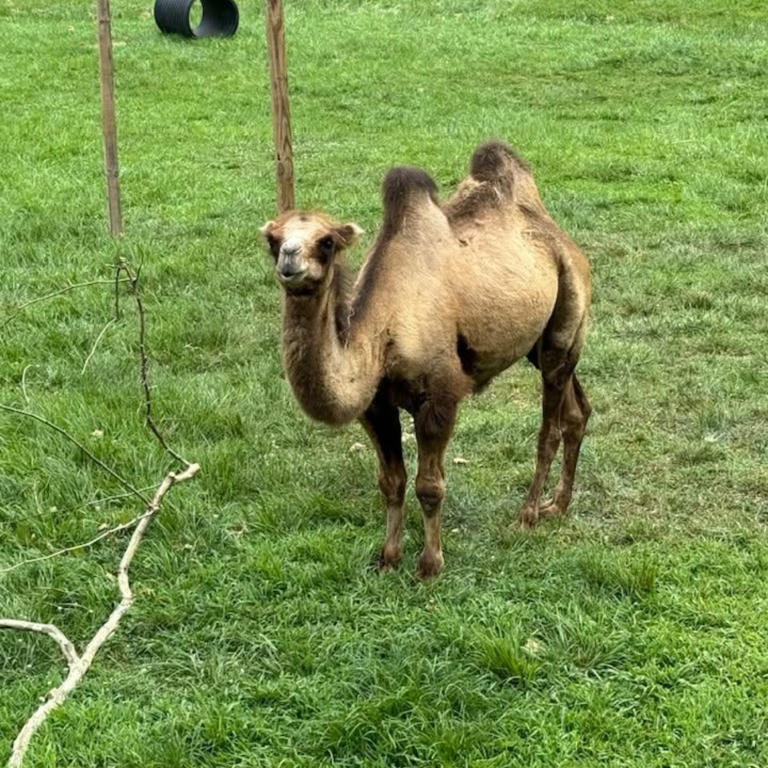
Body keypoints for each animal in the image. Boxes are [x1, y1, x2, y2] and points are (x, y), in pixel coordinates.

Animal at [260, 140, 591, 579]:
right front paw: (388, 557)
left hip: (567, 314)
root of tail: (557, 234)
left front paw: (430, 565)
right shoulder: (376, 406)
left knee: (549, 427)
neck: (383, 333)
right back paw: (558, 504)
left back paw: (528, 513)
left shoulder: (439, 396)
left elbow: (429, 486)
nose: (290, 260)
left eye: (327, 242)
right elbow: (391, 482)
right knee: (577, 411)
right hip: (538, 343)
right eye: (273, 239)